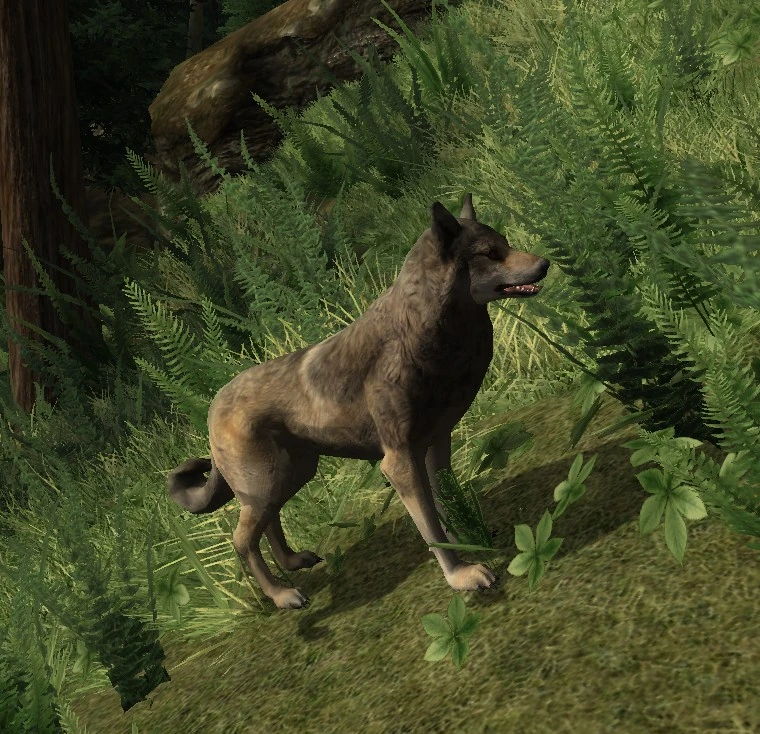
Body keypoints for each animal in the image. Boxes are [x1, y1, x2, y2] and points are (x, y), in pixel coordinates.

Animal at [168, 194, 550, 609]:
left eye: (506, 244)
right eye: (491, 254)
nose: (545, 263)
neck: (419, 334)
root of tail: (213, 405)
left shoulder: (436, 445)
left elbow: (446, 508)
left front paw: (470, 542)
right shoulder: (398, 463)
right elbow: (431, 527)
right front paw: (460, 576)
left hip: (289, 476)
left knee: (267, 525)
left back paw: (294, 561)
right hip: (269, 484)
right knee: (241, 540)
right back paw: (281, 594)